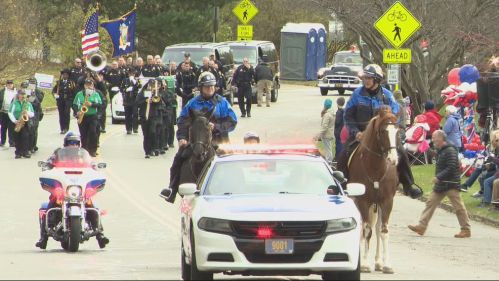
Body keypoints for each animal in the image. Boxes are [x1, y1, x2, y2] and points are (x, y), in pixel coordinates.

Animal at [348, 106, 402, 274]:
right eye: (383, 131)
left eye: (397, 131)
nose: (393, 159)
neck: (376, 167)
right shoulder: (363, 201)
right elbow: (366, 231)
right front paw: (364, 264)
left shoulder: (387, 201)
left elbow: (383, 231)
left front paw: (387, 264)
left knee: (377, 228)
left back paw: (378, 262)